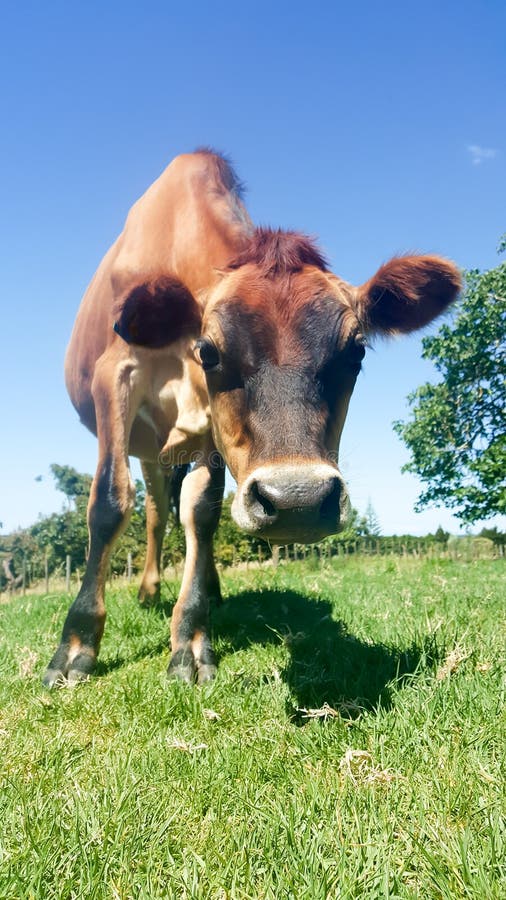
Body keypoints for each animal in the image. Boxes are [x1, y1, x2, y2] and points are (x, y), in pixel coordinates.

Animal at [43, 149, 461, 688]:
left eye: (356, 351)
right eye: (209, 351)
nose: (299, 501)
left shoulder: (211, 432)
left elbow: (201, 512)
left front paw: (190, 639)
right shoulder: (113, 375)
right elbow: (109, 502)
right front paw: (76, 645)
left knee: (175, 513)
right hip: (147, 443)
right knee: (153, 508)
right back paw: (149, 591)